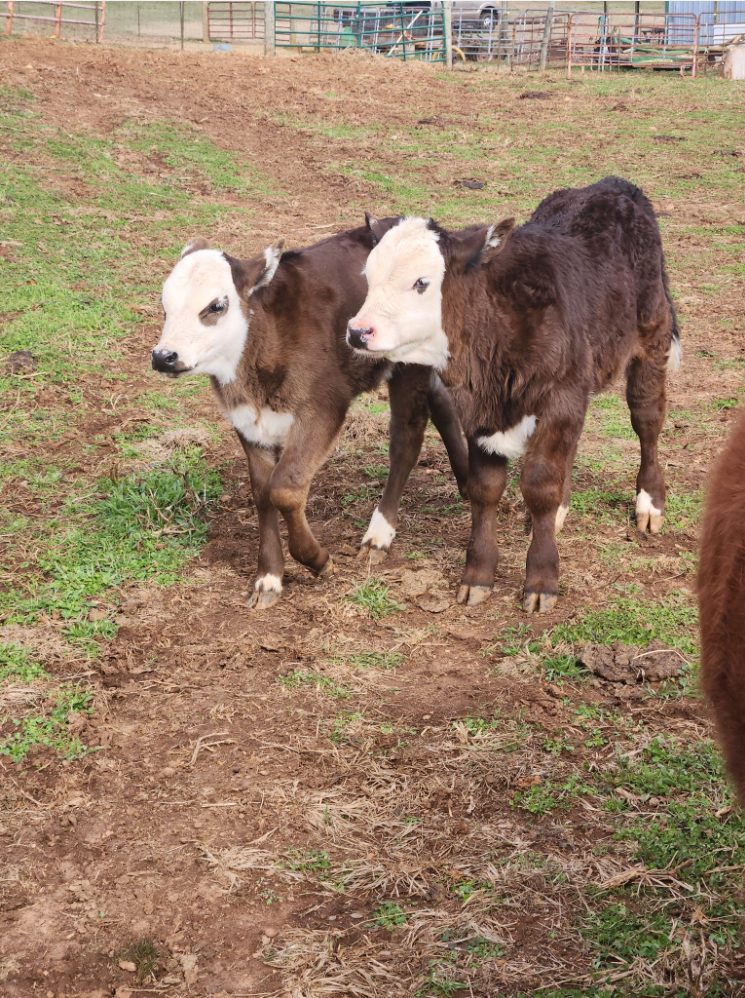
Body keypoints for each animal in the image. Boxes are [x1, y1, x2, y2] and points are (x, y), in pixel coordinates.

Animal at [151, 220, 468, 608]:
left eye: (216, 305)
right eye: (165, 305)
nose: (164, 356)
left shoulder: (323, 407)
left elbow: (285, 488)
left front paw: (318, 560)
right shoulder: (247, 421)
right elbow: (262, 491)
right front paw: (268, 579)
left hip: (408, 364)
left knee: (407, 438)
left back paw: (378, 536)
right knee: (442, 401)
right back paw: (466, 480)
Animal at [346, 177, 681, 612]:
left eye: (421, 282)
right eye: (368, 276)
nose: (358, 332)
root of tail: (613, 185)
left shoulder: (559, 397)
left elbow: (539, 486)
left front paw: (541, 579)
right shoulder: (482, 409)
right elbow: (486, 488)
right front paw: (478, 575)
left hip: (652, 338)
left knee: (647, 420)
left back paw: (649, 503)